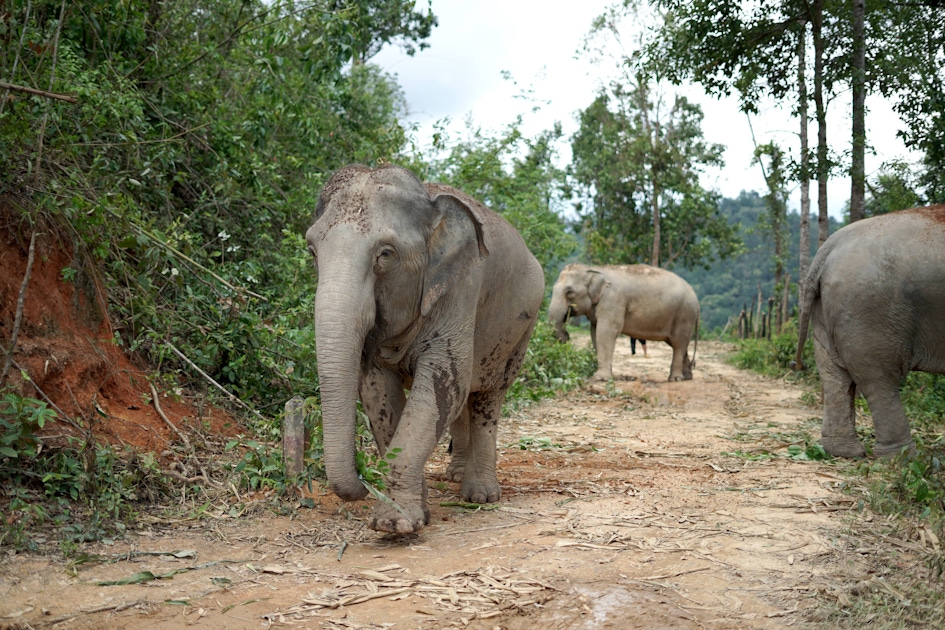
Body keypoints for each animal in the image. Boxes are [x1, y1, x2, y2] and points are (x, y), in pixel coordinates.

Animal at [305, 164, 544, 534]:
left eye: (385, 254)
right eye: (312, 251)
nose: (362, 482)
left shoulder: (460, 288)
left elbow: (442, 385)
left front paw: (394, 524)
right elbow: (378, 393)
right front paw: (415, 513)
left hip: (521, 331)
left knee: (488, 396)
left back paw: (481, 495)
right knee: (466, 398)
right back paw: (455, 475)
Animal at [549, 263, 700, 382]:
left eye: (569, 292)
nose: (567, 335)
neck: (595, 269)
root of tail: (696, 297)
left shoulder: (613, 301)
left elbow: (605, 332)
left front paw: (600, 378)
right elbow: (595, 332)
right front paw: (609, 376)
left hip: (684, 315)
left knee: (678, 343)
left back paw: (675, 379)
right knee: (679, 344)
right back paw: (687, 377)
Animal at [793, 205, 945, 458]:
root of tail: (828, 248)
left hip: (830, 309)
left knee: (834, 376)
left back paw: (843, 452)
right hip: (869, 311)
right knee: (879, 379)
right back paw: (901, 458)